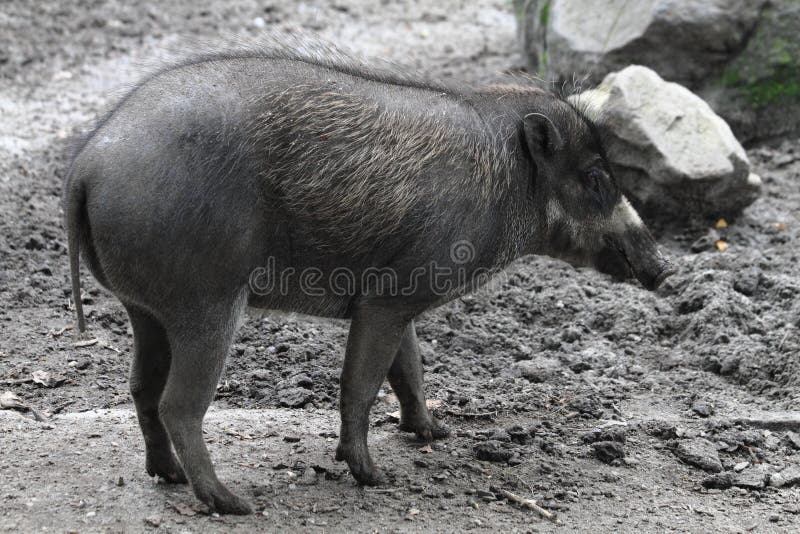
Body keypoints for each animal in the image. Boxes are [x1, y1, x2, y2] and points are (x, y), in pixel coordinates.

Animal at [63, 43, 674, 514]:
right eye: (595, 177)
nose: (664, 269)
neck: (506, 179)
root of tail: (86, 164)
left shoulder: (393, 299)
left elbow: (409, 370)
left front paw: (435, 434)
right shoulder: (390, 299)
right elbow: (361, 383)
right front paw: (374, 477)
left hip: (146, 310)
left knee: (141, 389)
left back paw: (166, 476)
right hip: (205, 304)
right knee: (178, 405)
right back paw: (232, 503)